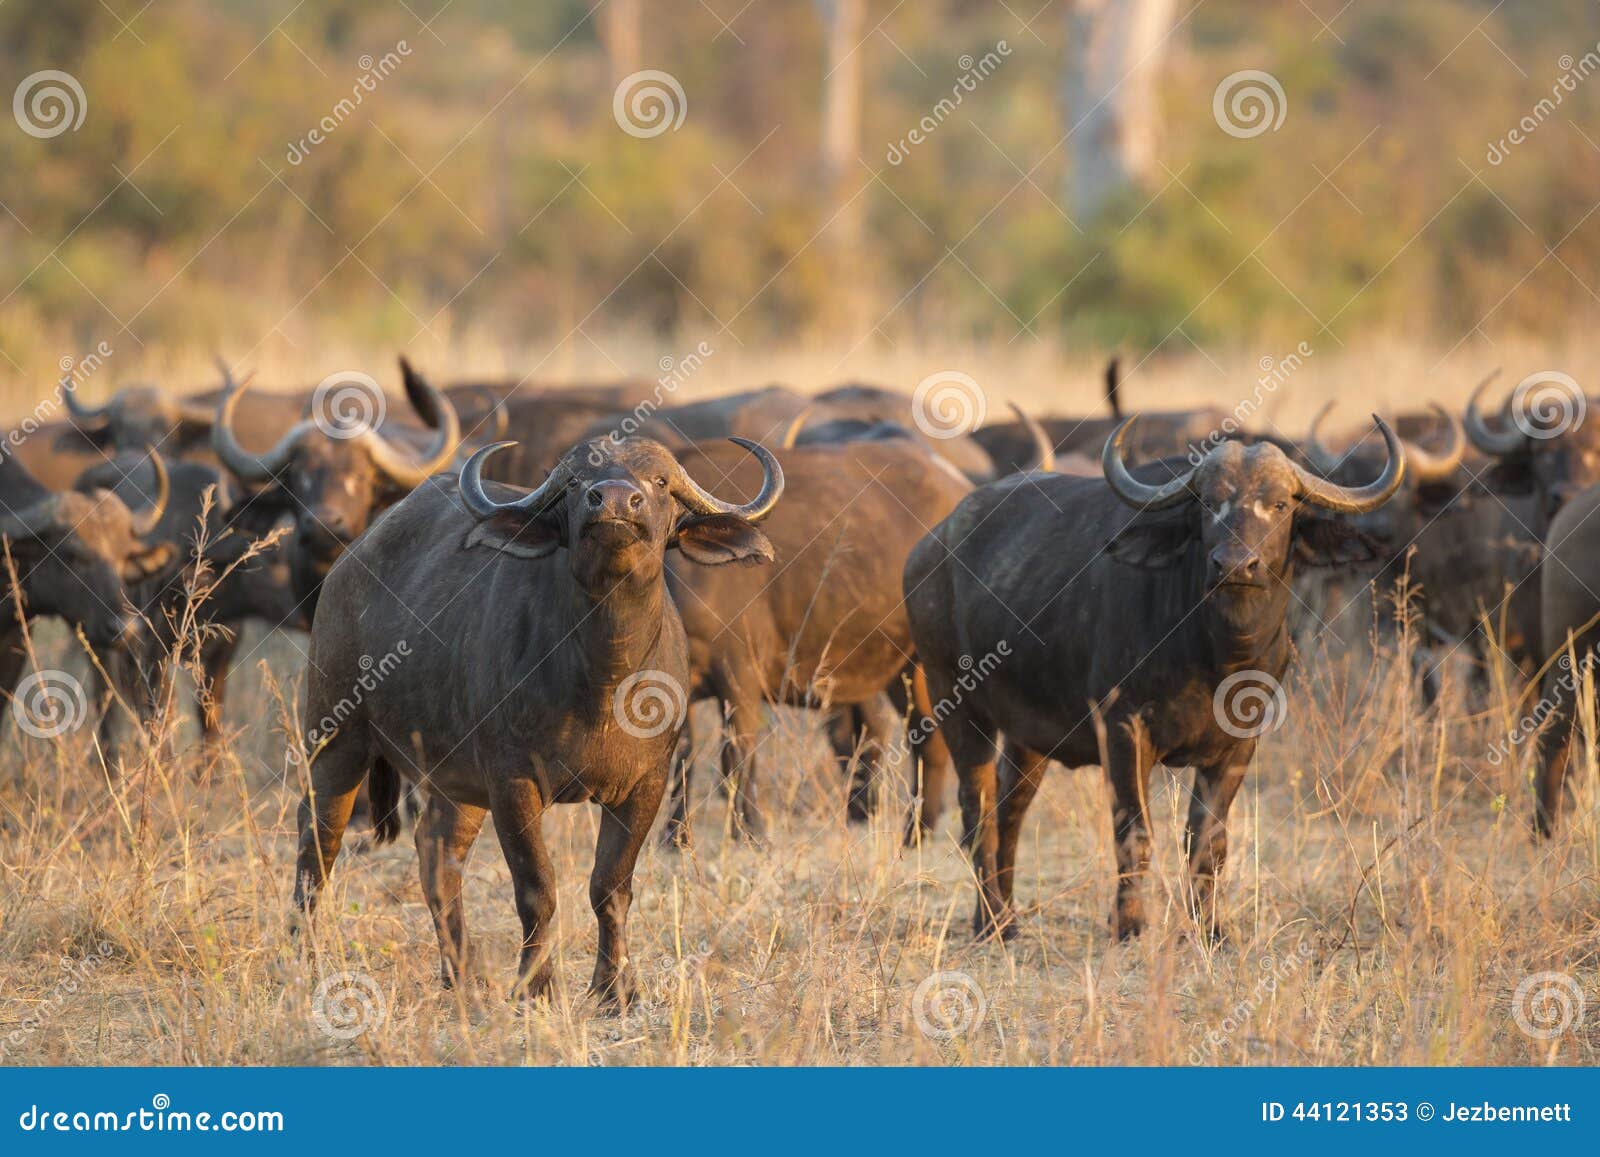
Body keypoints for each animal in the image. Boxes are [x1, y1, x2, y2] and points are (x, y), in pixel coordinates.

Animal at [291, 435, 781, 1005]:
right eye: (573, 482)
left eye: (661, 482)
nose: (615, 501)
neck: (603, 680)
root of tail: (348, 564)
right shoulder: (512, 781)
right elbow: (536, 888)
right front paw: (537, 988)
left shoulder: (647, 783)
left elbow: (610, 886)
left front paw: (615, 990)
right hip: (337, 738)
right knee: (318, 841)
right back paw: (304, 959)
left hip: (455, 782)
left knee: (435, 854)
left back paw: (463, 976)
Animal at [904, 415, 1404, 943]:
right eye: (1207, 502)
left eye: (1280, 504)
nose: (1234, 565)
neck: (1215, 656)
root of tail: (929, 548)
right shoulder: (1123, 730)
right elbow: (1135, 833)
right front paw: (1130, 925)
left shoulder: (1240, 744)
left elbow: (1208, 841)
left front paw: (1211, 928)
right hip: (955, 701)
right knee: (976, 808)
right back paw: (995, 921)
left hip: (1028, 736)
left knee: (1010, 808)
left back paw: (1000, 918)